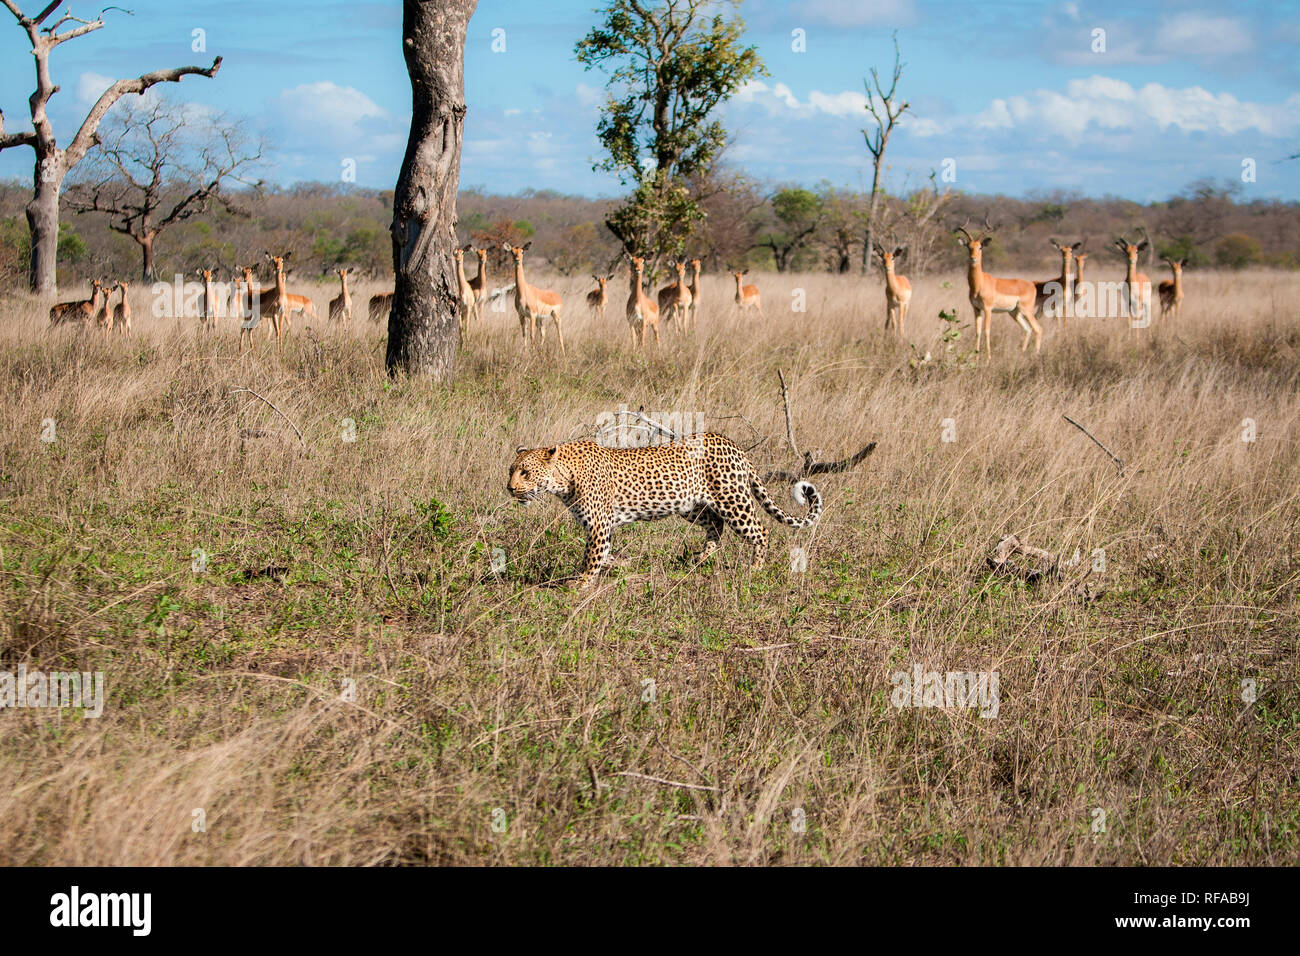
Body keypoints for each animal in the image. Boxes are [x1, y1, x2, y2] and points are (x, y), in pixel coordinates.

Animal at [507, 433, 822, 588]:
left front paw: (581, 583)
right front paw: (619, 566)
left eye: (525, 472)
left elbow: (592, 557)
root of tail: (732, 443)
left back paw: (754, 568)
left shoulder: (598, 525)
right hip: (689, 505)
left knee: (761, 531)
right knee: (715, 526)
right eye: (511, 470)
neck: (563, 480)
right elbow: (604, 554)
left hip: (733, 501)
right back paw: (699, 558)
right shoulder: (602, 527)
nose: (509, 488)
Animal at [954, 222, 1041, 354]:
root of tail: (1032, 284)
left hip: (1026, 310)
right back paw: (1022, 353)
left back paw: (1036, 354)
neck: (979, 284)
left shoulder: (988, 309)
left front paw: (988, 357)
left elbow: (986, 331)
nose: (973, 258)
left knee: (1038, 329)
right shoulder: (976, 309)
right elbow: (978, 332)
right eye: (969, 247)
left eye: (980, 247)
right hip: (1014, 312)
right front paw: (976, 355)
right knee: (1028, 329)